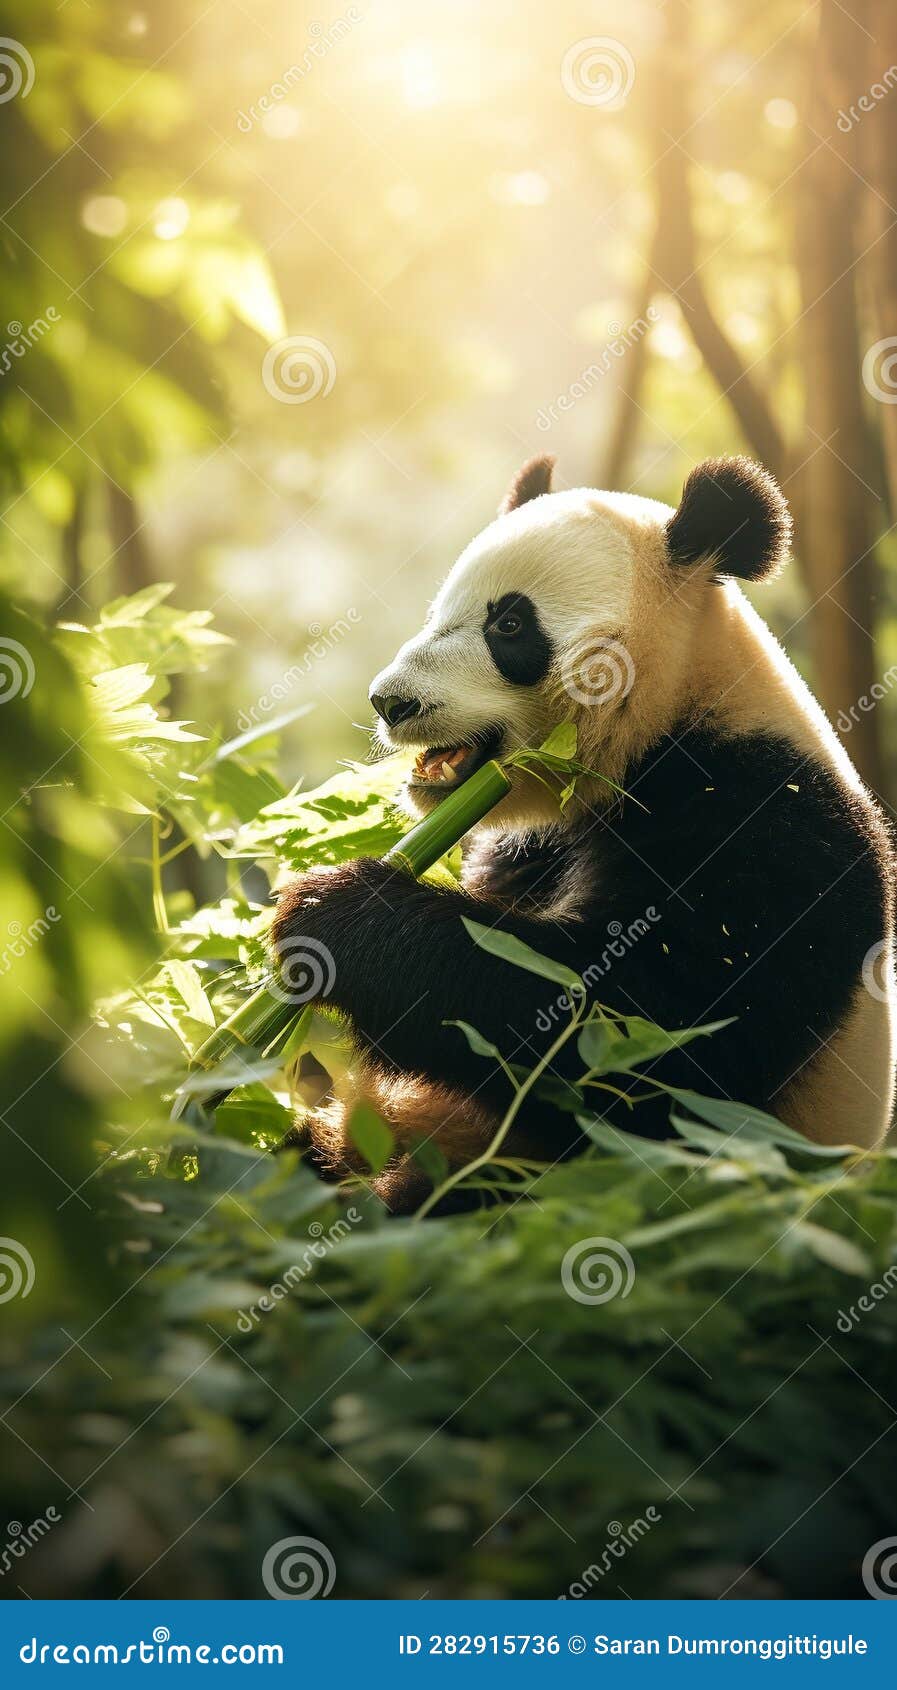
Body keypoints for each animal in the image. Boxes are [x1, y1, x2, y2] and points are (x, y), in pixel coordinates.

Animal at [273, 454, 896, 1211]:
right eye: (437, 612)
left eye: (511, 624)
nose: (391, 702)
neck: (672, 716)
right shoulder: (532, 840)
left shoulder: (765, 831)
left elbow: (649, 1042)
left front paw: (332, 916)